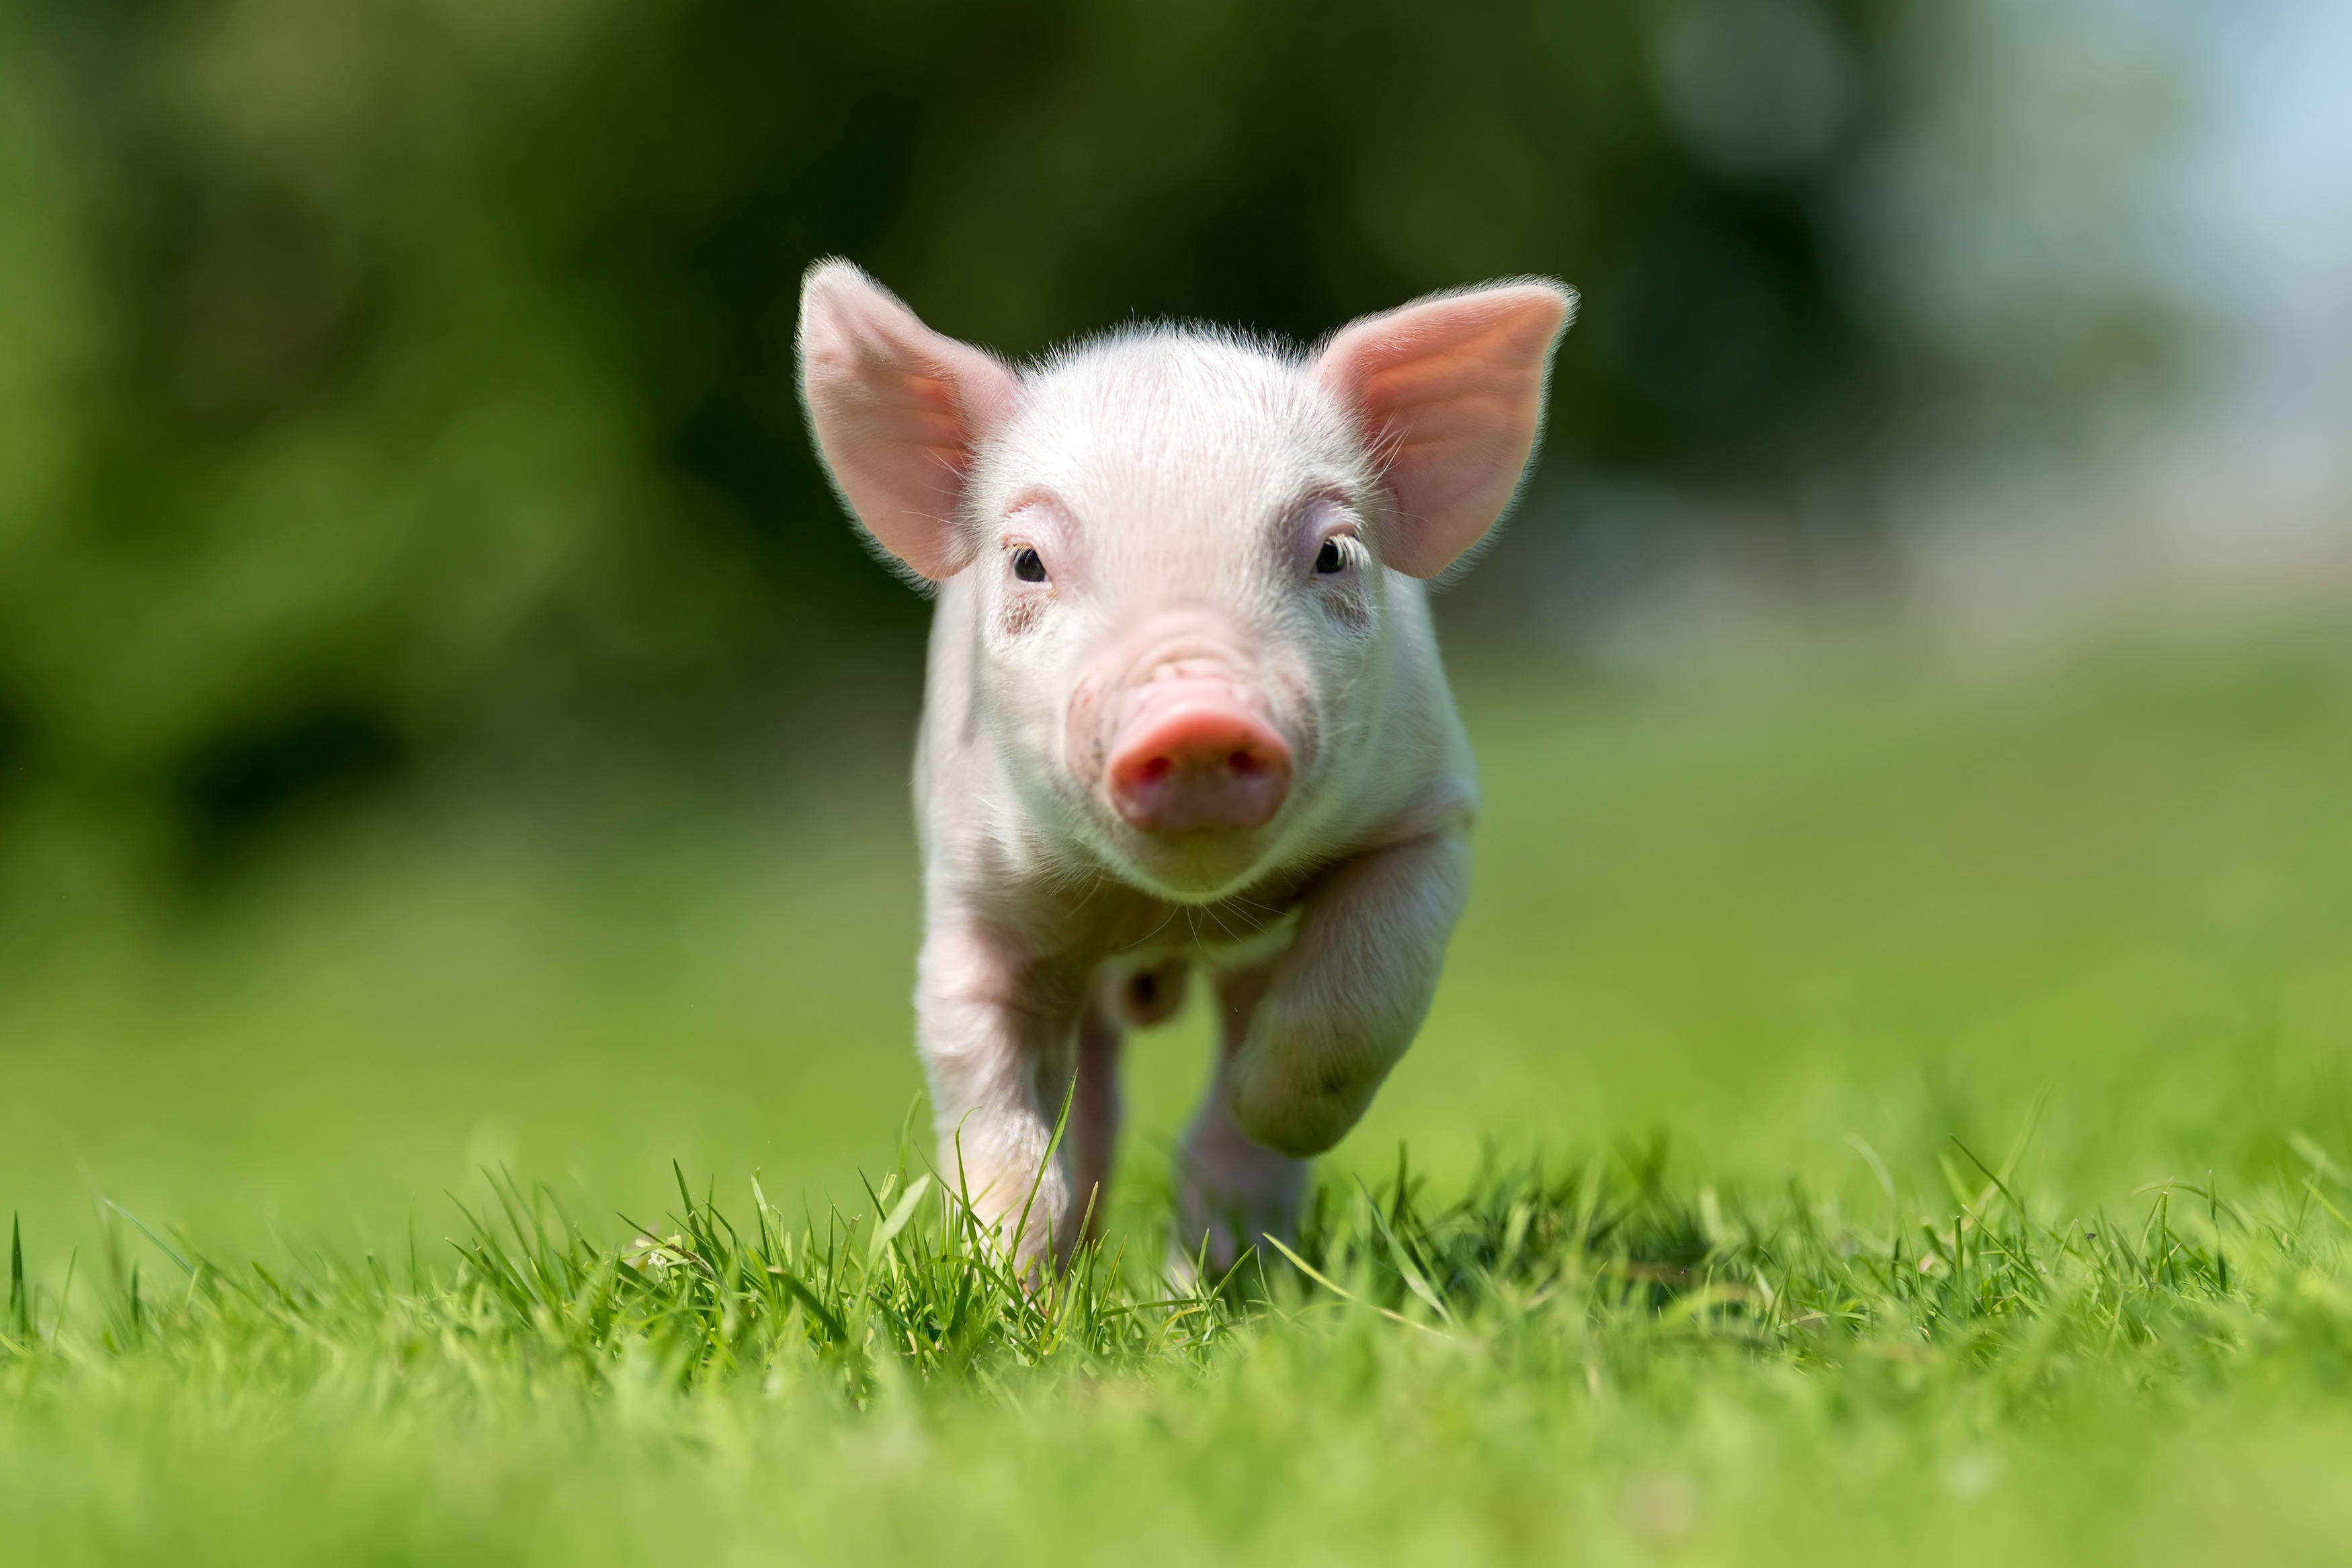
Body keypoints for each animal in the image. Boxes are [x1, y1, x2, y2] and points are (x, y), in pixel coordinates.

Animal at [797, 261, 1575, 1272]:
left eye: (1333, 552)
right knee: (1092, 1106)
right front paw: (1002, 1272)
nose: (1197, 712)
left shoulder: (1427, 819)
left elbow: (1364, 994)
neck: (1168, 915)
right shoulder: (974, 892)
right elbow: (984, 1090)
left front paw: (1262, 1106)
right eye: (1027, 562)